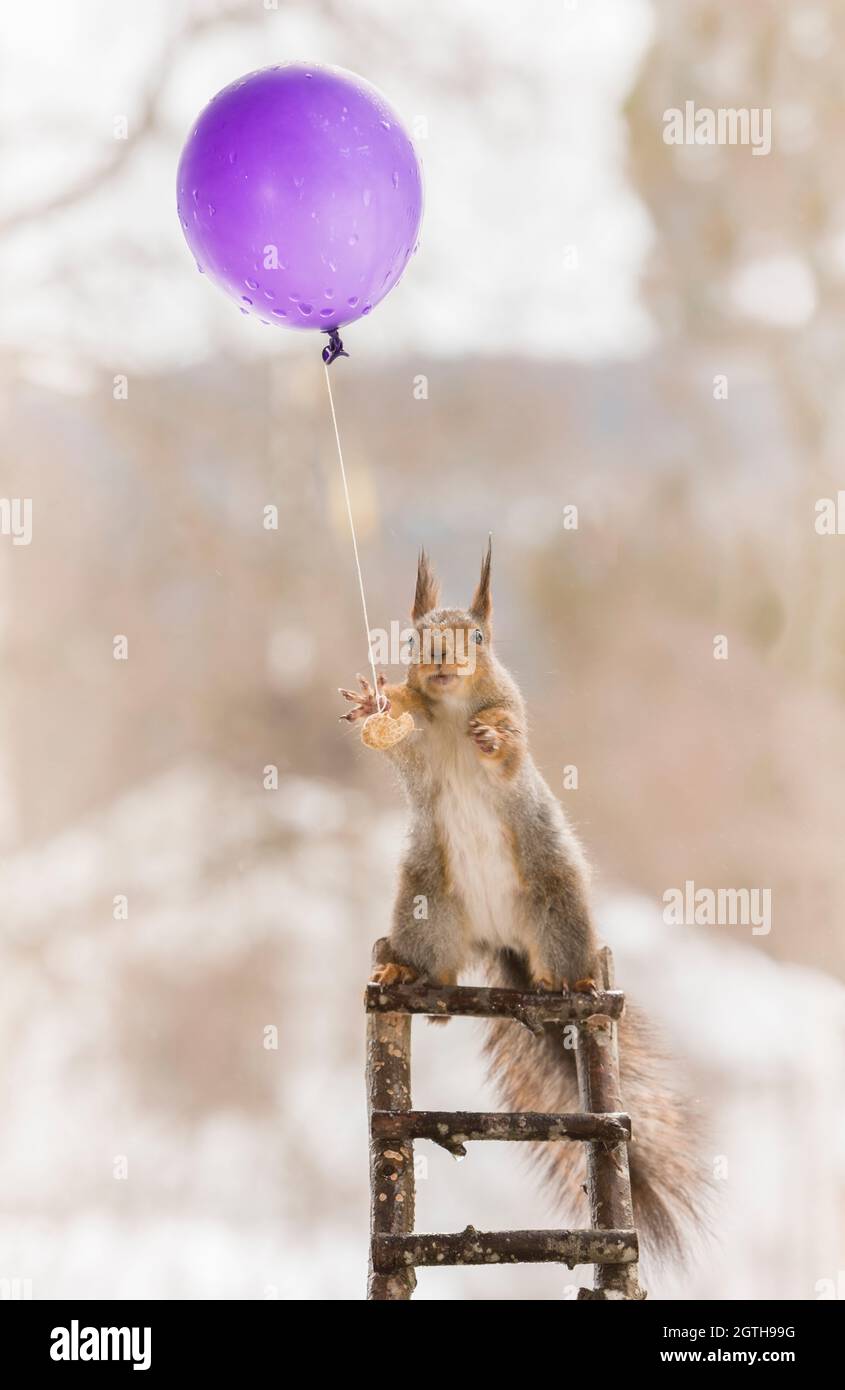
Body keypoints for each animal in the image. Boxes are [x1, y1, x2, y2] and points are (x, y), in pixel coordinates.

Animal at [339, 540, 706, 1258]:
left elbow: (510, 748)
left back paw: (565, 981)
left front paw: (491, 738)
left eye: (479, 637)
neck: (453, 711)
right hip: (427, 906)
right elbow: (397, 730)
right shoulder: (415, 738)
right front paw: (371, 705)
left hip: (557, 908)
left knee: (559, 961)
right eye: (415, 637)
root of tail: (496, 940)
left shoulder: (513, 713)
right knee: (440, 976)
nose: (441, 660)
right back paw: (407, 973)